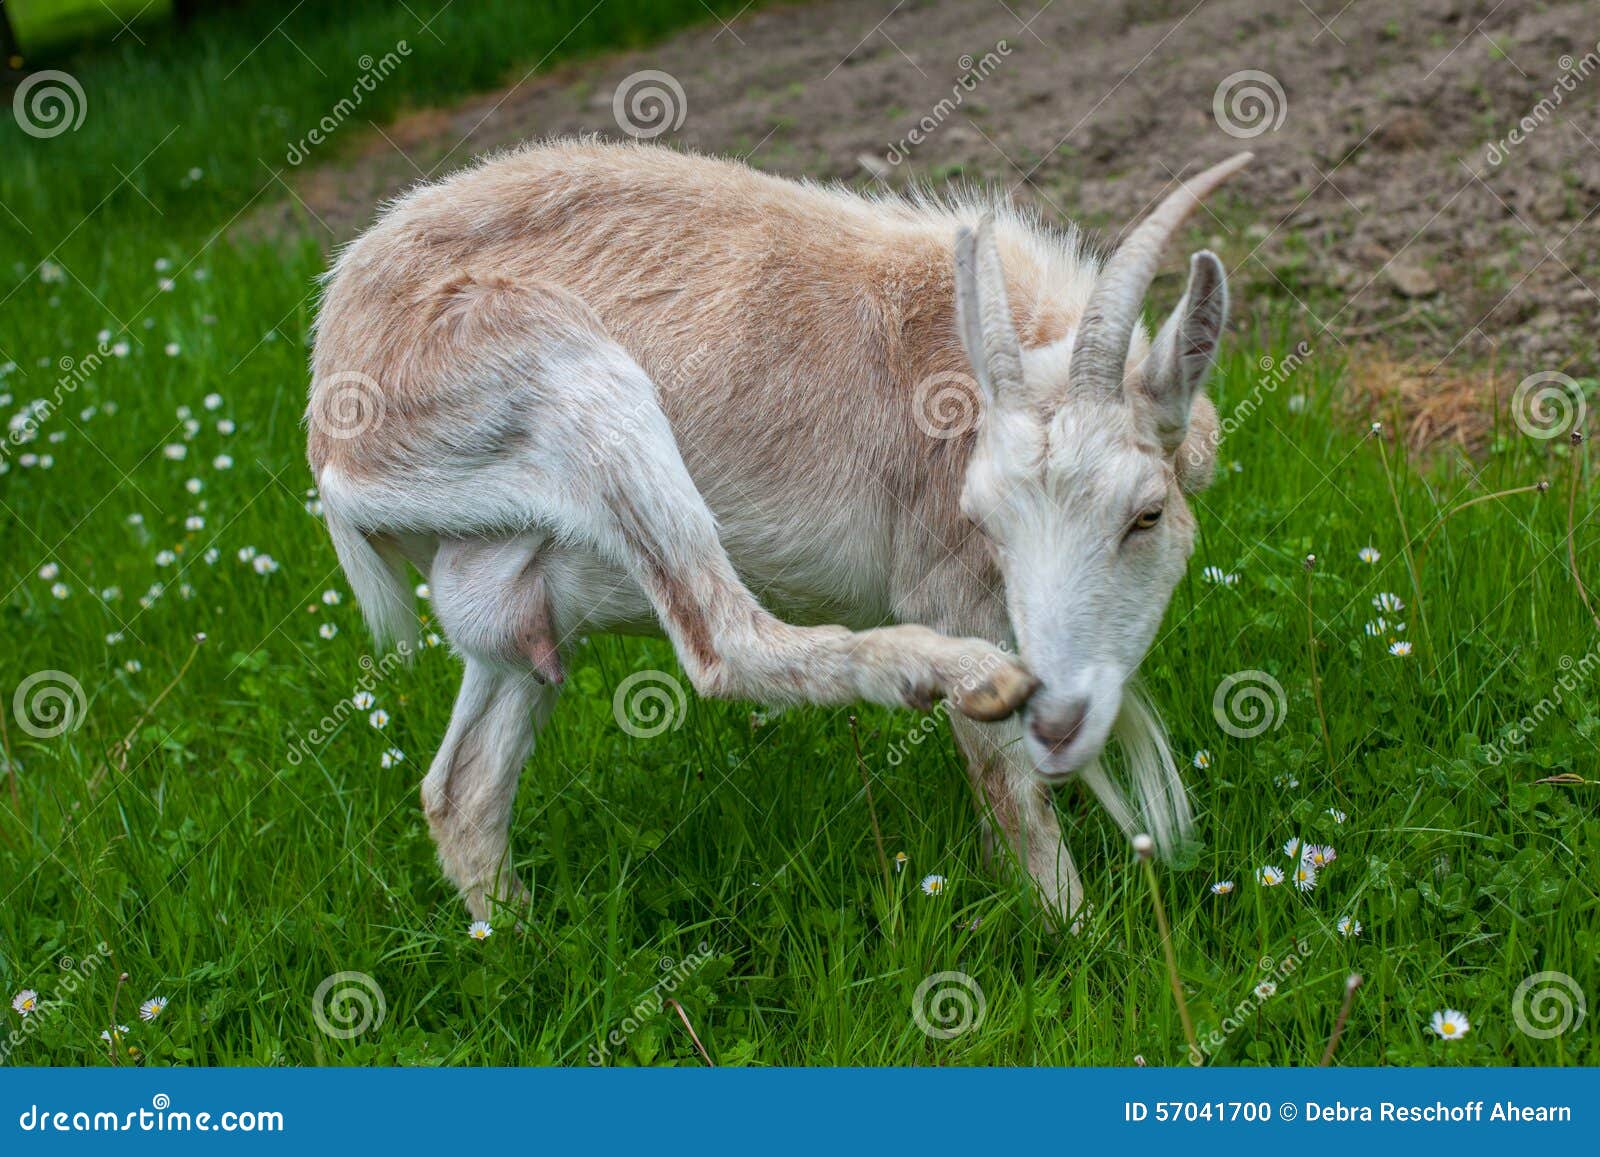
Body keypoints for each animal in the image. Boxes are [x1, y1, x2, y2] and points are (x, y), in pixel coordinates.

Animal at [306, 139, 1248, 924]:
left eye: (1146, 514)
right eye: (986, 520)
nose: (1058, 718)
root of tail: (328, 401)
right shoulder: (946, 584)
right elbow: (1008, 783)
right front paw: (1077, 934)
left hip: (522, 587)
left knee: (460, 788)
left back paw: (521, 944)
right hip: (577, 387)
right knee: (724, 645)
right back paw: (947, 672)